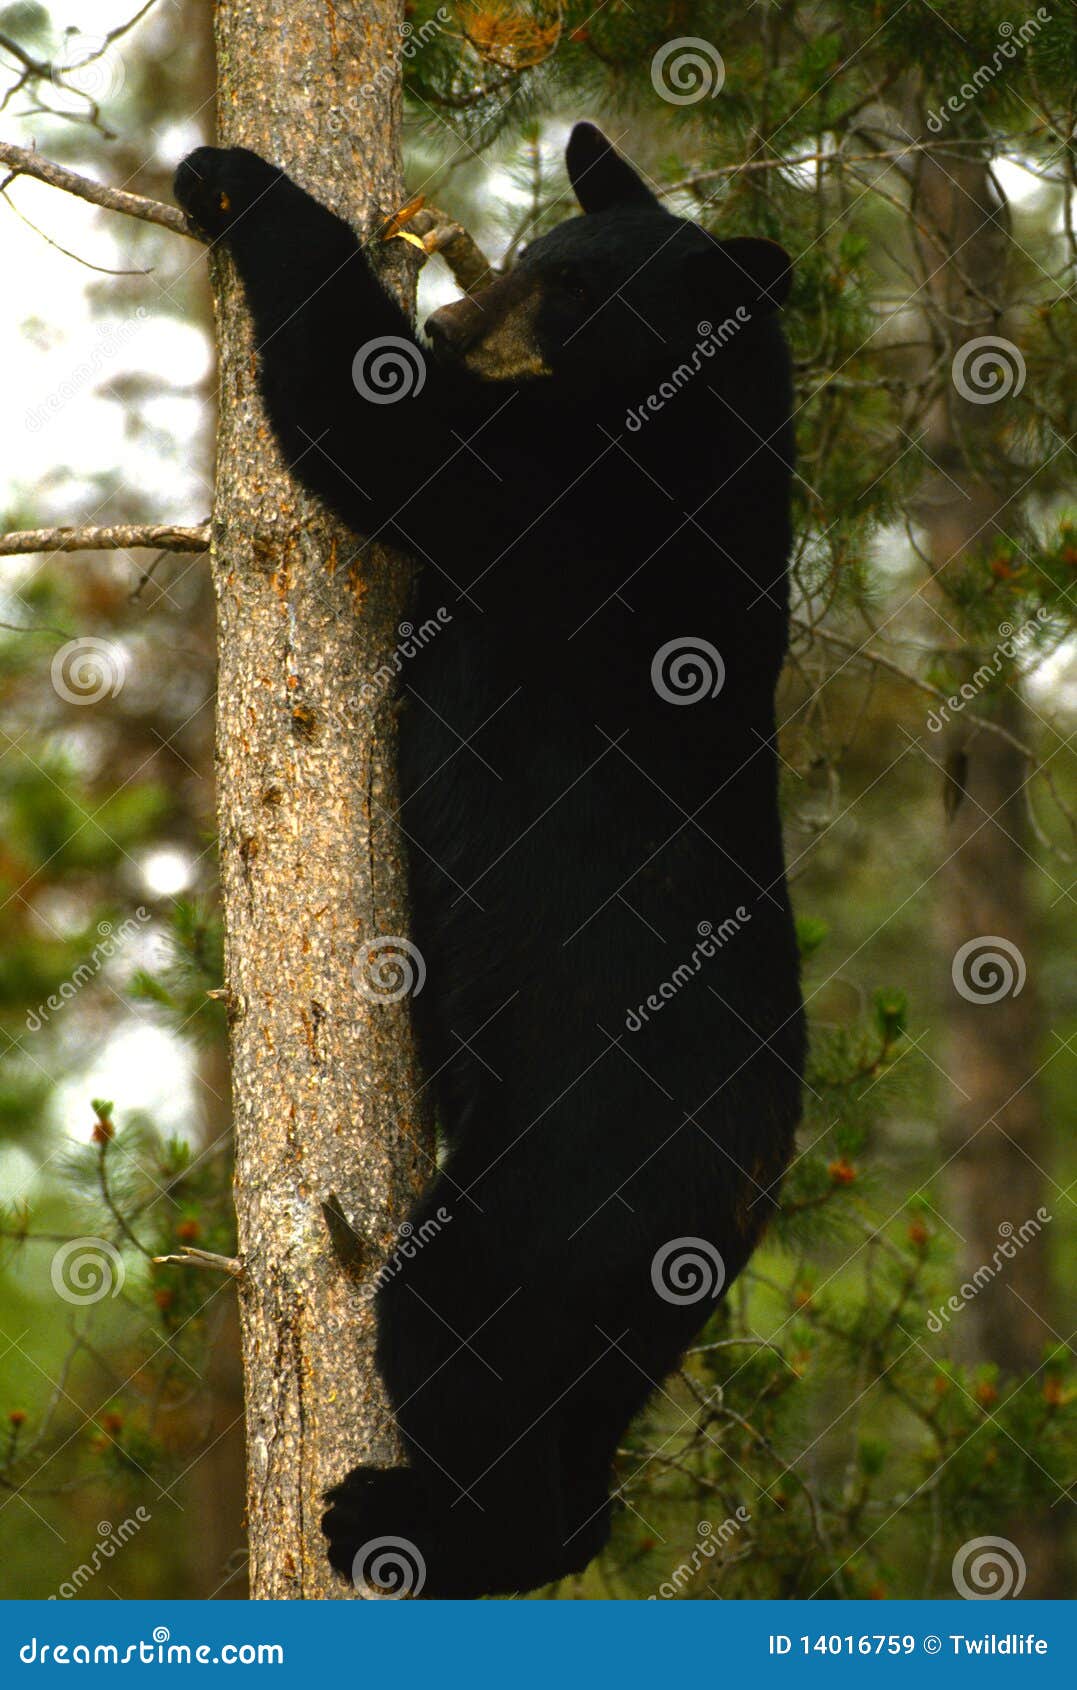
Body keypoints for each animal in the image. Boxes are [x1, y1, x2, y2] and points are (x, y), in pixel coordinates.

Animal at [174, 122, 804, 1599]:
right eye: (529, 251)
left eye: (574, 293)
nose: (454, 323)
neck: (679, 439)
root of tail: (749, 1183)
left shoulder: (572, 531)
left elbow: (381, 438)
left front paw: (236, 180)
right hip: (628, 1302)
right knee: (580, 1441)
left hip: (561, 1195)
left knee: (456, 1327)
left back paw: (398, 1524)